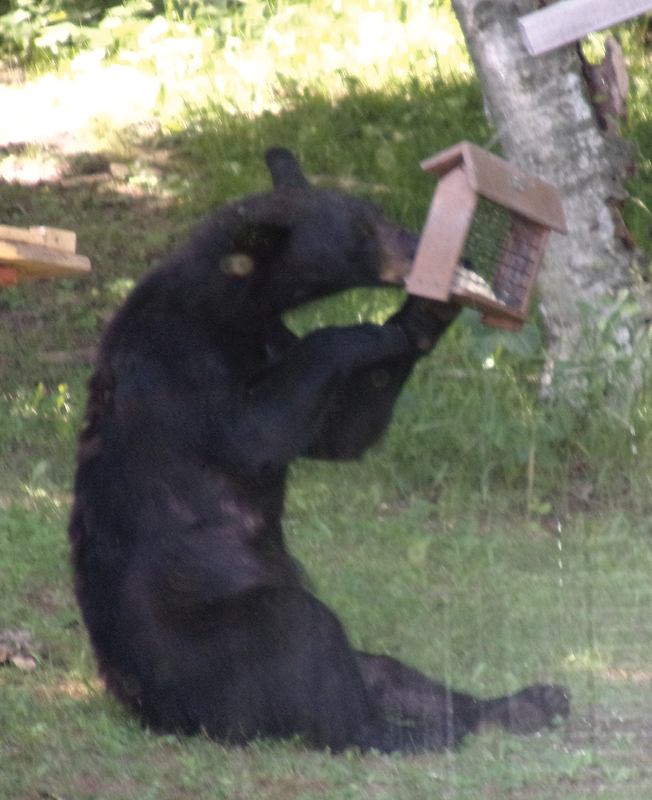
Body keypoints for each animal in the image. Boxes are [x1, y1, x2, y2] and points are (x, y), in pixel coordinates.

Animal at [69, 147, 569, 753]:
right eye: (364, 229)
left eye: (376, 213)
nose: (418, 245)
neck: (225, 308)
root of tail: (145, 707)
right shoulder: (173, 364)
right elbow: (251, 432)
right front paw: (370, 332)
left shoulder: (265, 336)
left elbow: (338, 433)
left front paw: (425, 312)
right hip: (205, 639)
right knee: (308, 640)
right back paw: (406, 734)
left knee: (384, 672)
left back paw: (519, 705)